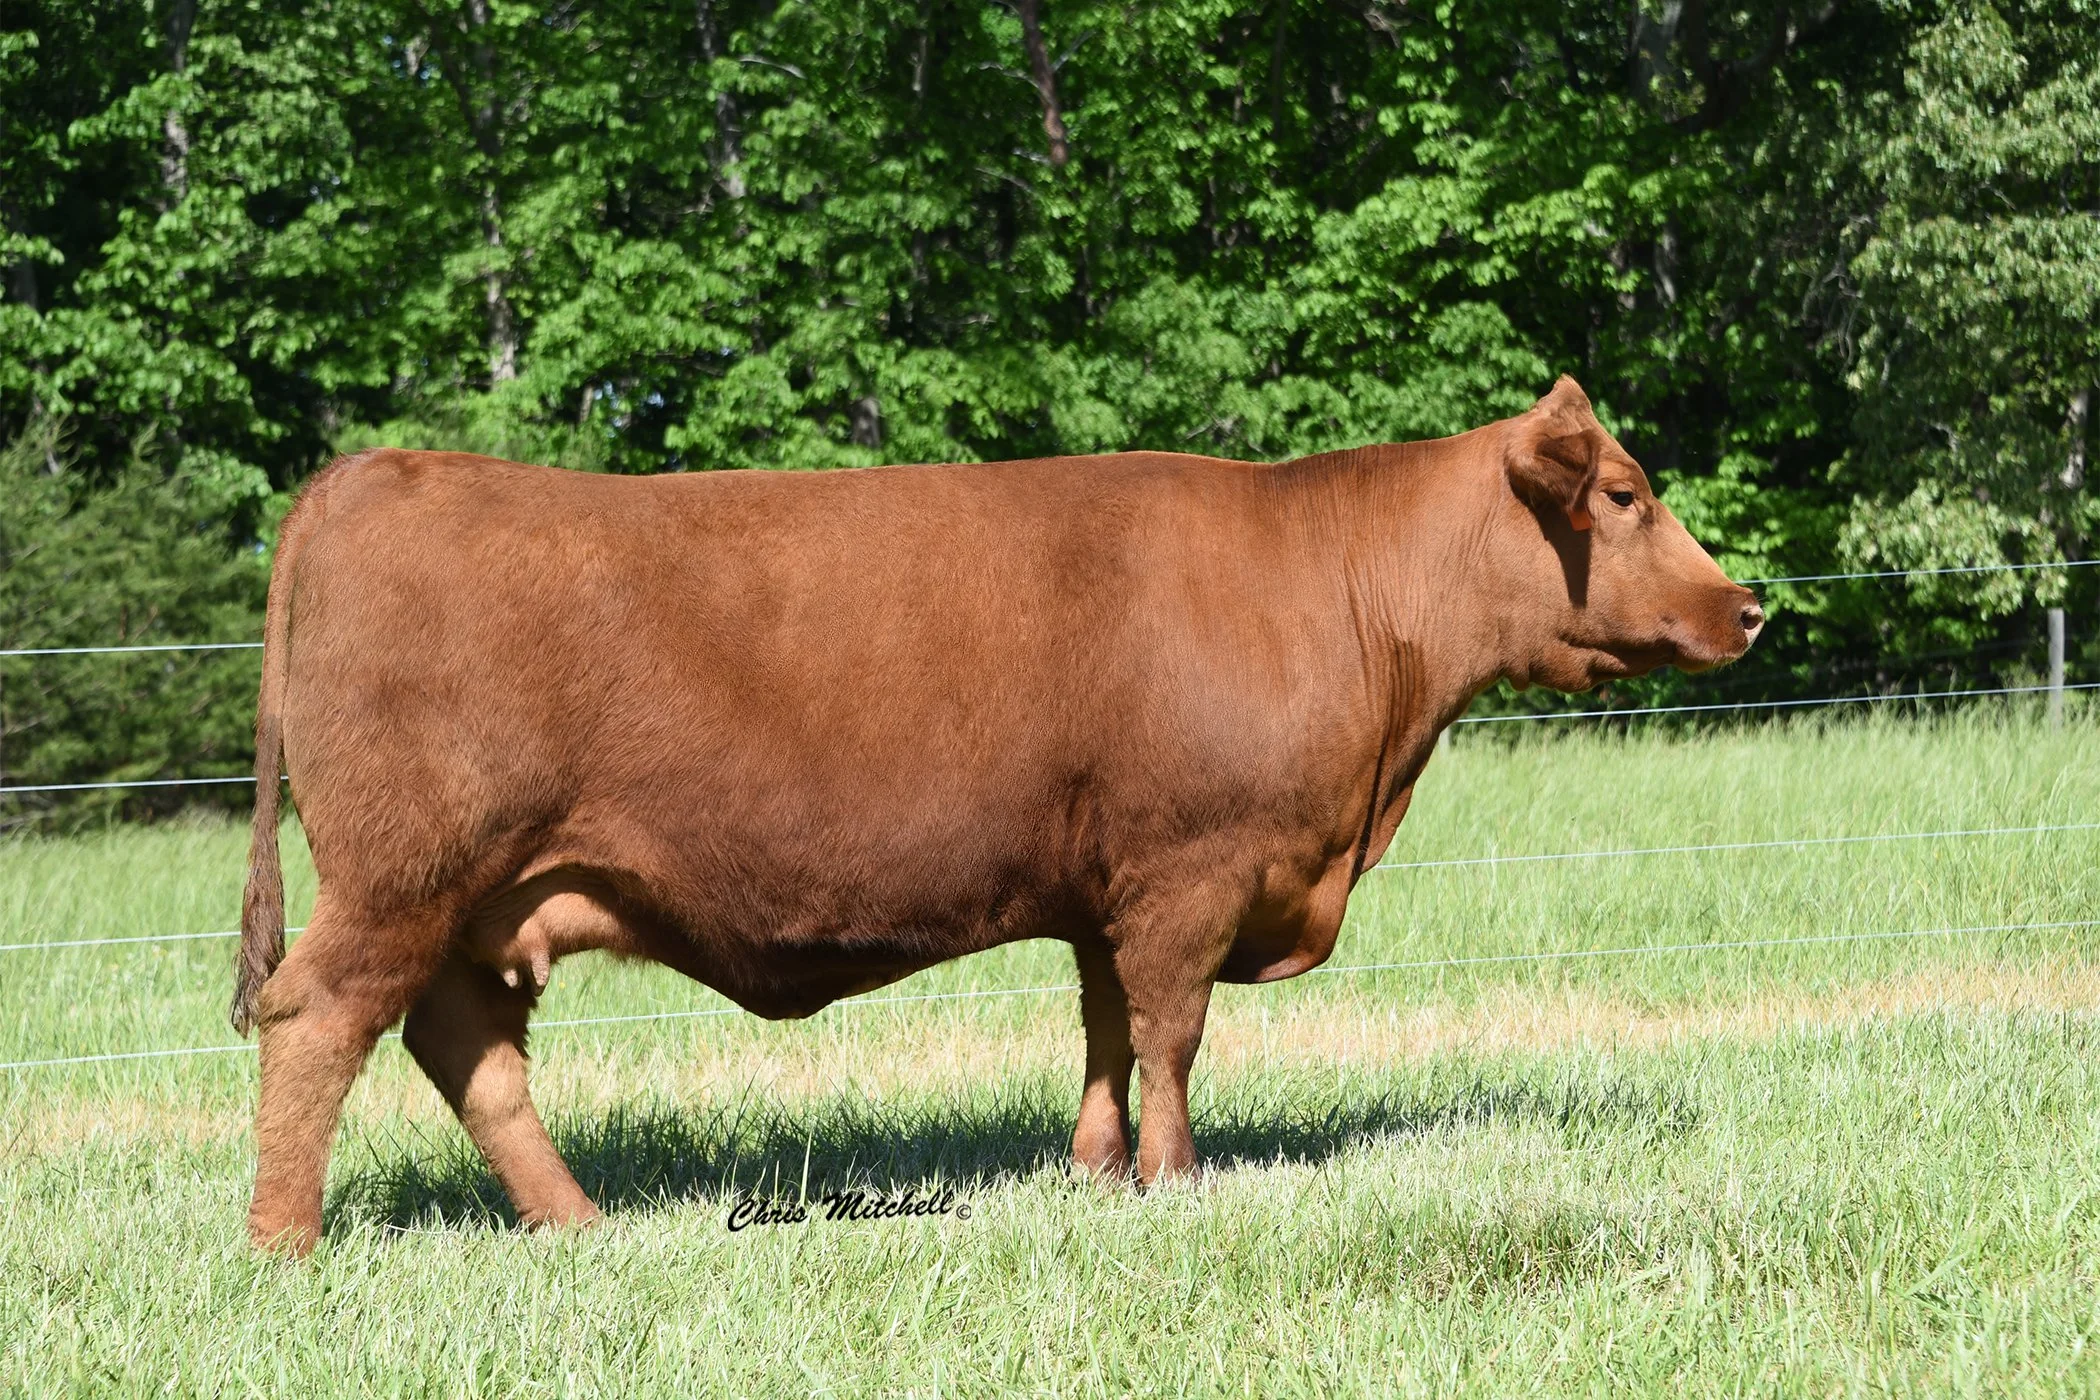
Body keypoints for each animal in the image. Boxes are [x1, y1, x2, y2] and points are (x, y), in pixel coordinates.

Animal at [232, 376, 1762, 1253]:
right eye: (1623, 492)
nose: (1748, 604)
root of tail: (377, 470)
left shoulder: (1107, 888)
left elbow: (1104, 1030)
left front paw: (1095, 1172)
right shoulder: (1191, 871)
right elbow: (1171, 1032)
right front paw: (1178, 1181)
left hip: (473, 903)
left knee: (467, 1050)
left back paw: (577, 1223)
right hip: (405, 875)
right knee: (320, 1021)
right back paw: (285, 1241)